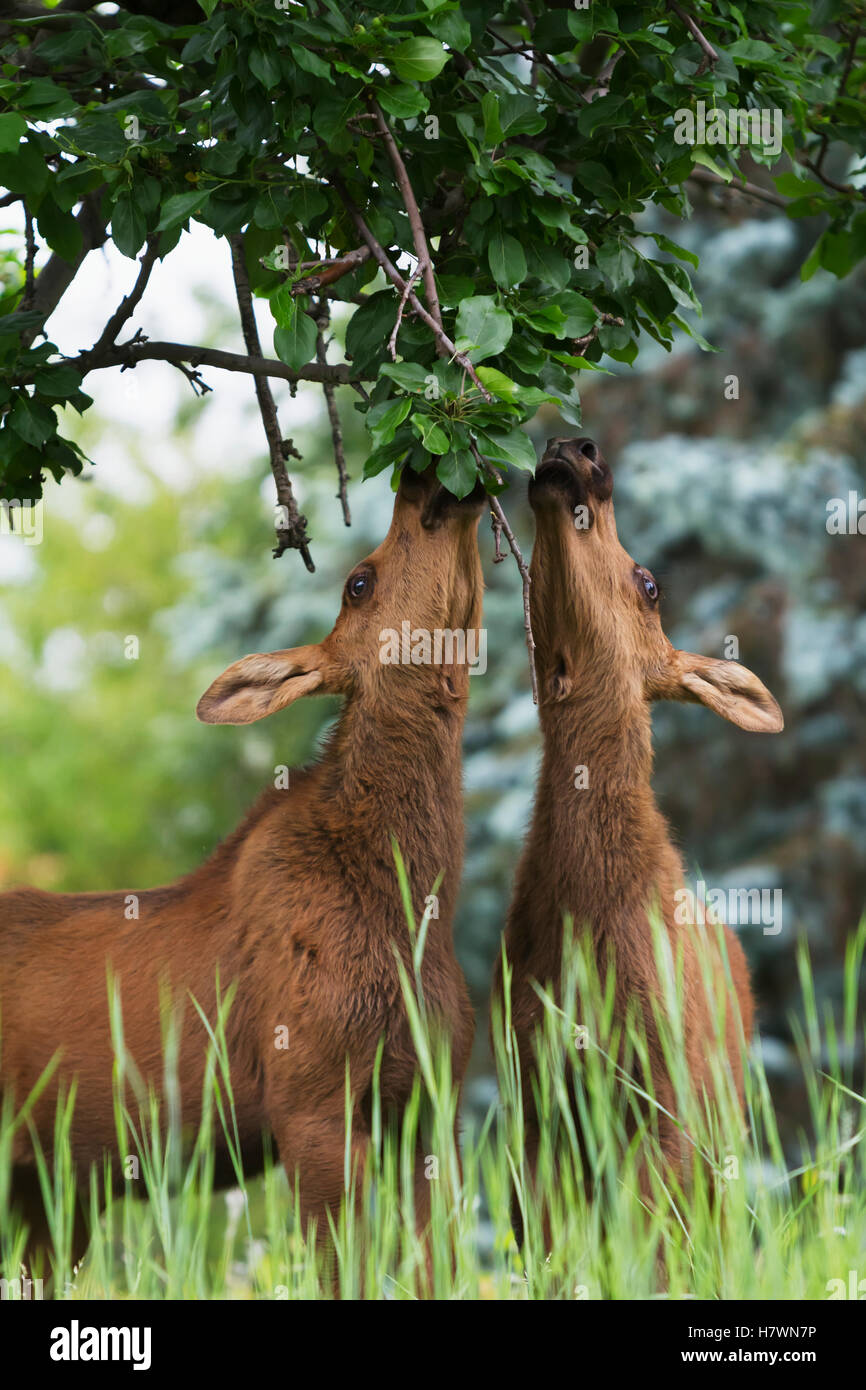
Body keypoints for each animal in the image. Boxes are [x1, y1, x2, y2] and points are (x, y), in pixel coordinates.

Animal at [0, 465, 485, 1274]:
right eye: (358, 582)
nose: (422, 480)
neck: (413, 898)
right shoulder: (310, 1103)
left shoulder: (428, 1101)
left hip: (53, 1188)